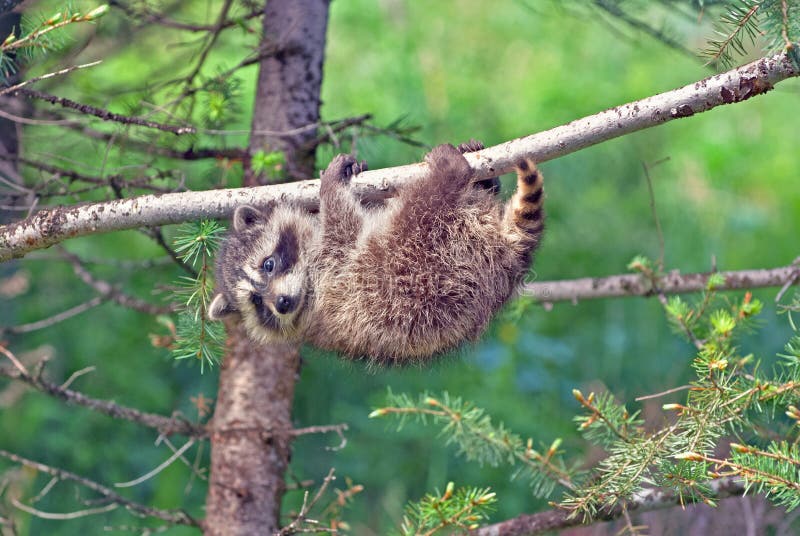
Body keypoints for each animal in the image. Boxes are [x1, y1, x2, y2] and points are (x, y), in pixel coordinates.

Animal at [209, 140, 544, 365]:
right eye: (257, 302)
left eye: (268, 265)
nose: (281, 303)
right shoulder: (335, 277)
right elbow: (342, 227)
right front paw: (330, 190)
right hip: (421, 261)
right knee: (422, 207)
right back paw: (451, 172)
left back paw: (484, 181)